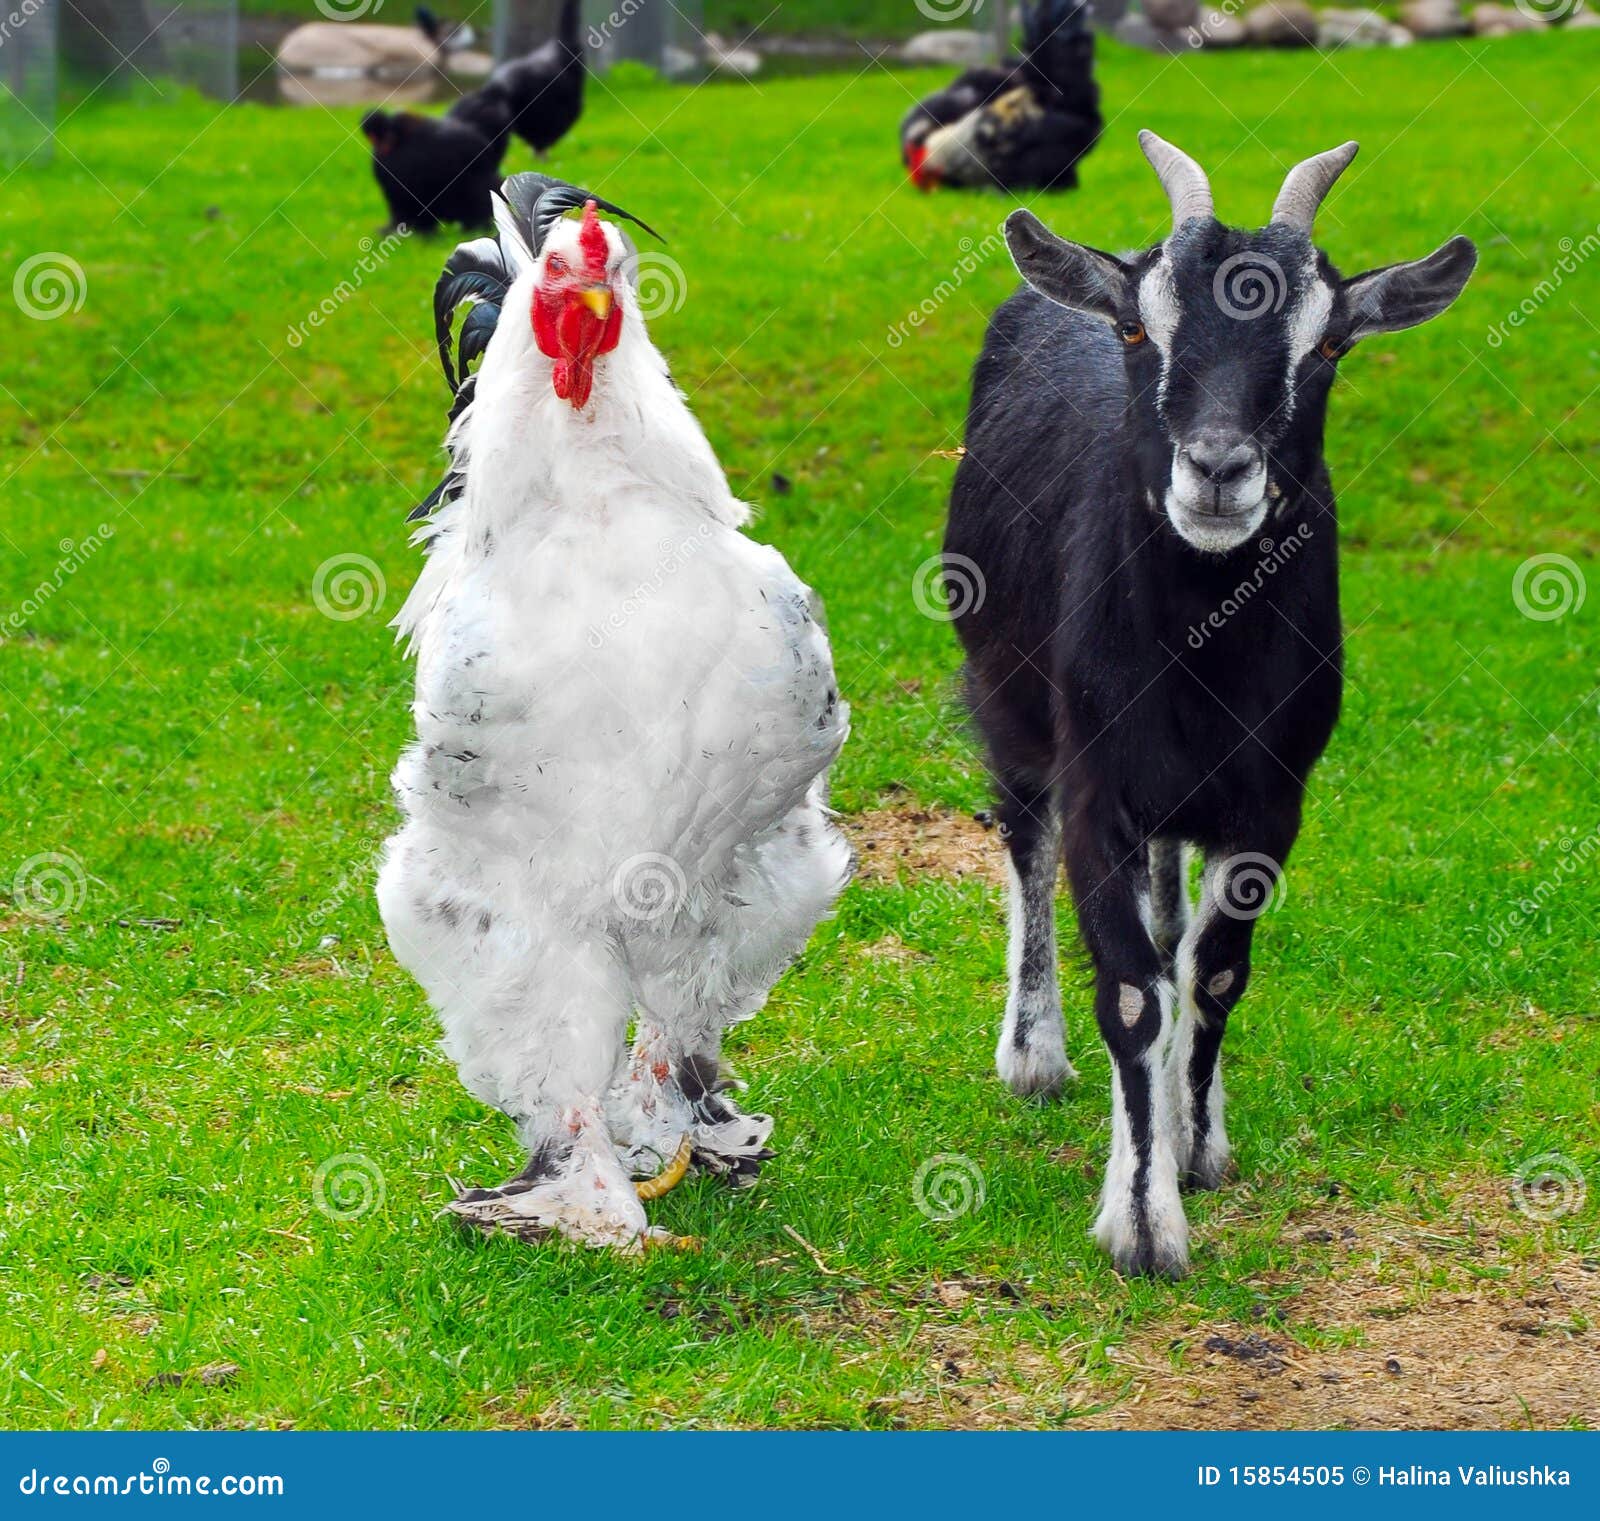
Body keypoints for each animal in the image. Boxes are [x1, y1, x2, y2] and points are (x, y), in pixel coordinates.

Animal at [943, 132, 1476, 1277]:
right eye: (1139, 328)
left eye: (1329, 348)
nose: (1220, 469)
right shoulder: (1097, 784)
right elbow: (1132, 988)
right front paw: (1142, 1222)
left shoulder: (1273, 799)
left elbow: (1212, 974)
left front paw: (1194, 1148)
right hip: (1004, 691)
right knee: (1023, 836)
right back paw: (1033, 1052)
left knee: (1173, 913)